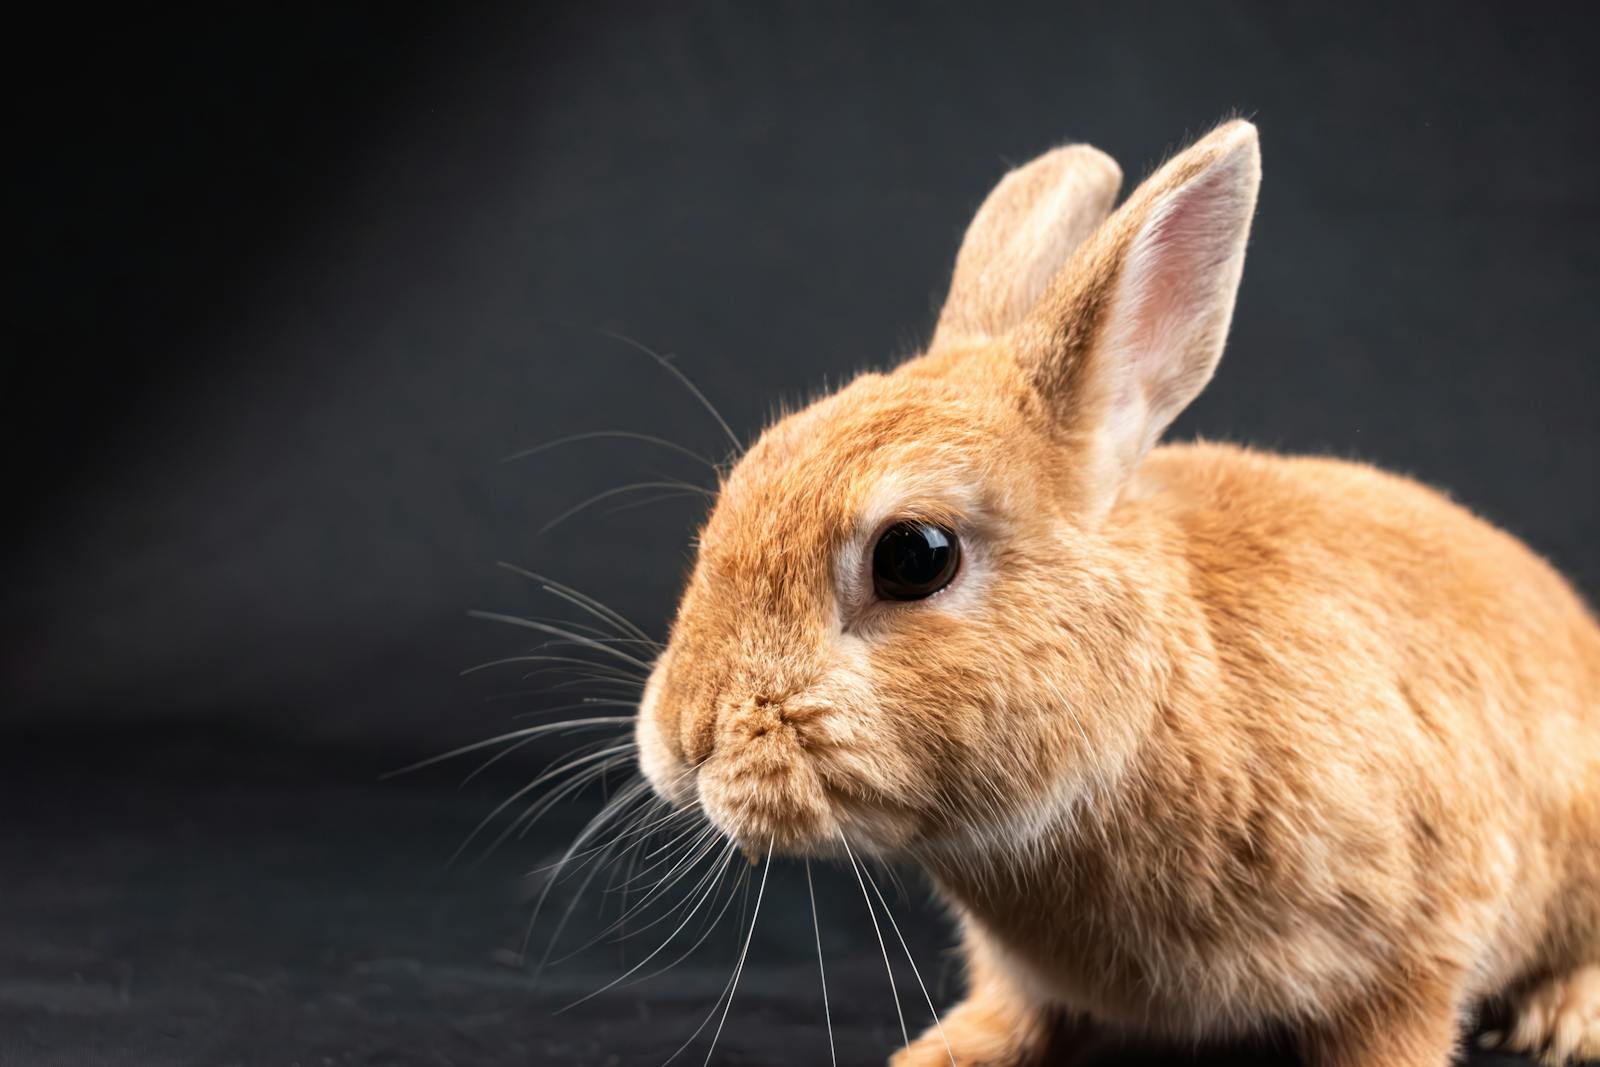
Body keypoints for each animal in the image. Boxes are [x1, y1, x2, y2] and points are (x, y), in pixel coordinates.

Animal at [631, 120, 1600, 1066]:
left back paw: (1566, 1020)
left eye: (914, 555)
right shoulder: (1021, 971)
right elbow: (1013, 1010)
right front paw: (941, 1054)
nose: (685, 736)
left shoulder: (1418, 931)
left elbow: (1396, 1027)